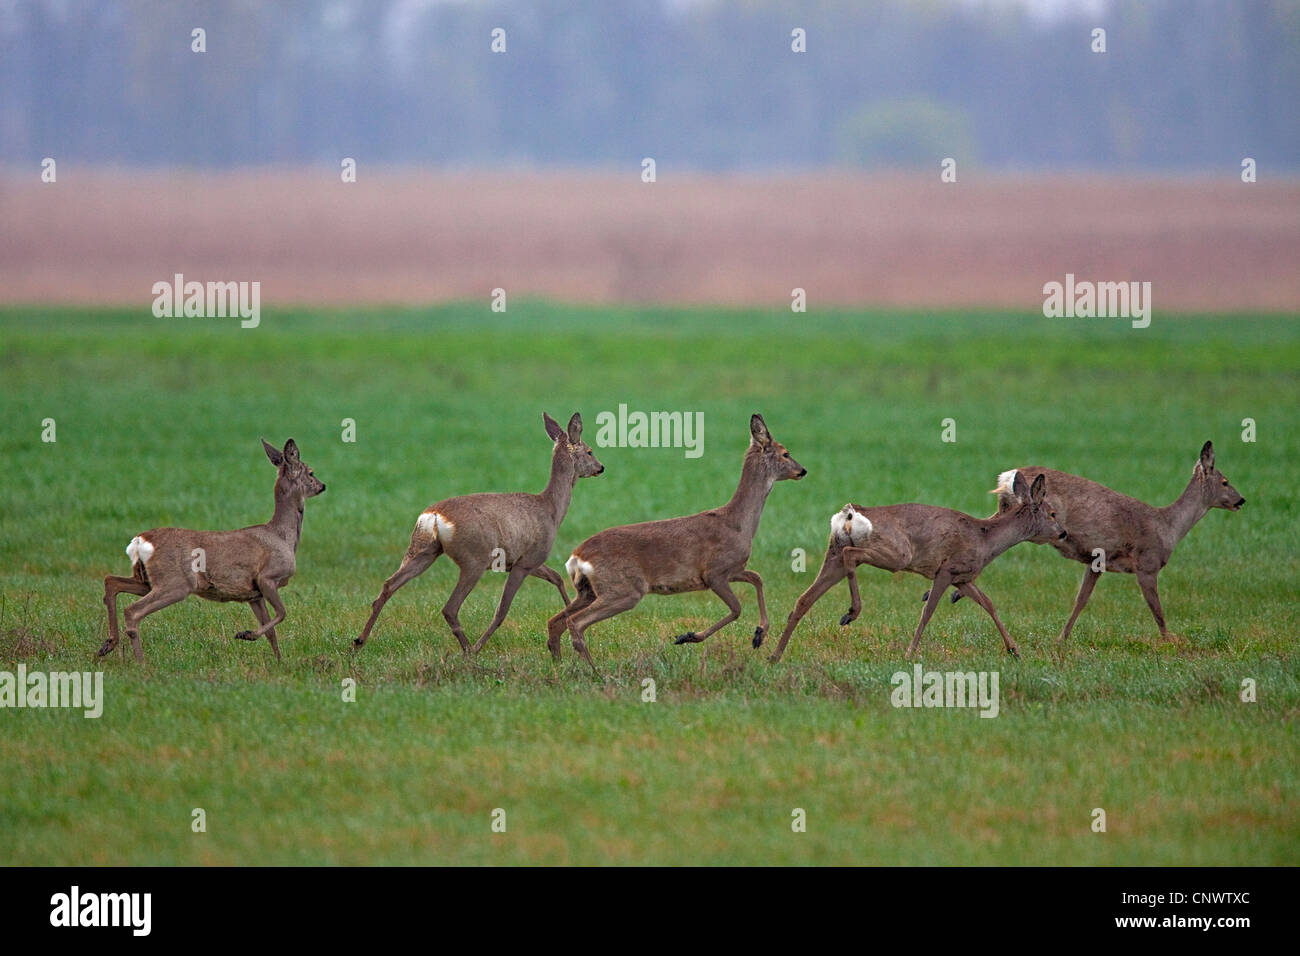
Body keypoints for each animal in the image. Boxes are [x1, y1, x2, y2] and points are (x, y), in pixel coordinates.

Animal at [100, 438, 326, 663]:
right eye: (311, 472)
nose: (322, 485)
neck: (283, 536)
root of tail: (141, 540)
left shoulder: (253, 594)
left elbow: (271, 631)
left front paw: (279, 662)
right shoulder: (267, 577)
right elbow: (282, 613)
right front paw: (247, 634)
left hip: (146, 580)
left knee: (111, 581)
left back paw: (108, 644)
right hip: (175, 582)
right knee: (132, 611)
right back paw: (141, 663)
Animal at [353, 412, 604, 655]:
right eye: (590, 451)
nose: (600, 467)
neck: (551, 509)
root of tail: (433, 516)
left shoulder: (520, 560)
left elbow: (556, 578)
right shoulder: (528, 560)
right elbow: (501, 611)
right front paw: (479, 645)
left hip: (422, 550)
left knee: (388, 586)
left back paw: (358, 641)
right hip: (473, 559)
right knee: (450, 608)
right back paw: (470, 652)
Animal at [547, 414, 806, 671]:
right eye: (785, 453)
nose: (802, 470)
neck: (738, 523)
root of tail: (576, 556)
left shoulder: (734, 569)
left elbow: (757, 578)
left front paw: (759, 634)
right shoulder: (715, 572)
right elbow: (737, 609)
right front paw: (687, 636)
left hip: (588, 591)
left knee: (555, 621)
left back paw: (561, 664)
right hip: (623, 589)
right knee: (575, 622)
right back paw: (594, 671)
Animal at [758, 471, 1066, 663]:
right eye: (1052, 513)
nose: (1063, 533)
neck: (986, 539)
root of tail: (850, 513)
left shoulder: (963, 577)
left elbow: (989, 604)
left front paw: (1014, 650)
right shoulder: (947, 570)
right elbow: (927, 611)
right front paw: (909, 653)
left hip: (832, 556)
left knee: (804, 599)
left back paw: (774, 655)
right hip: (897, 553)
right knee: (851, 555)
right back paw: (852, 612)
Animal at [985, 440, 1244, 645]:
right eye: (1225, 481)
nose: (1241, 500)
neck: (1168, 527)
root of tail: (1007, 476)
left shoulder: (1096, 562)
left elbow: (1081, 599)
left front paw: (1062, 638)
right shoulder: (1147, 564)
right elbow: (1157, 609)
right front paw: (1170, 641)